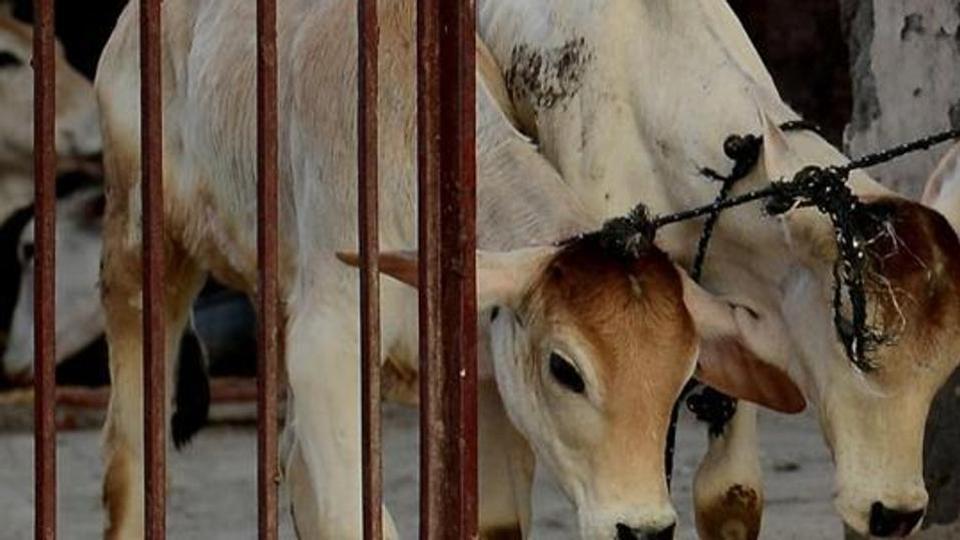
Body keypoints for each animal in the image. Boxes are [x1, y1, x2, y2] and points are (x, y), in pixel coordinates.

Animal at [94, 1, 802, 538]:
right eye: (565, 369)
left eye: (683, 379)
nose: (644, 529)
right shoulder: (328, 348)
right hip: (139, 249)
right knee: (129, 457)